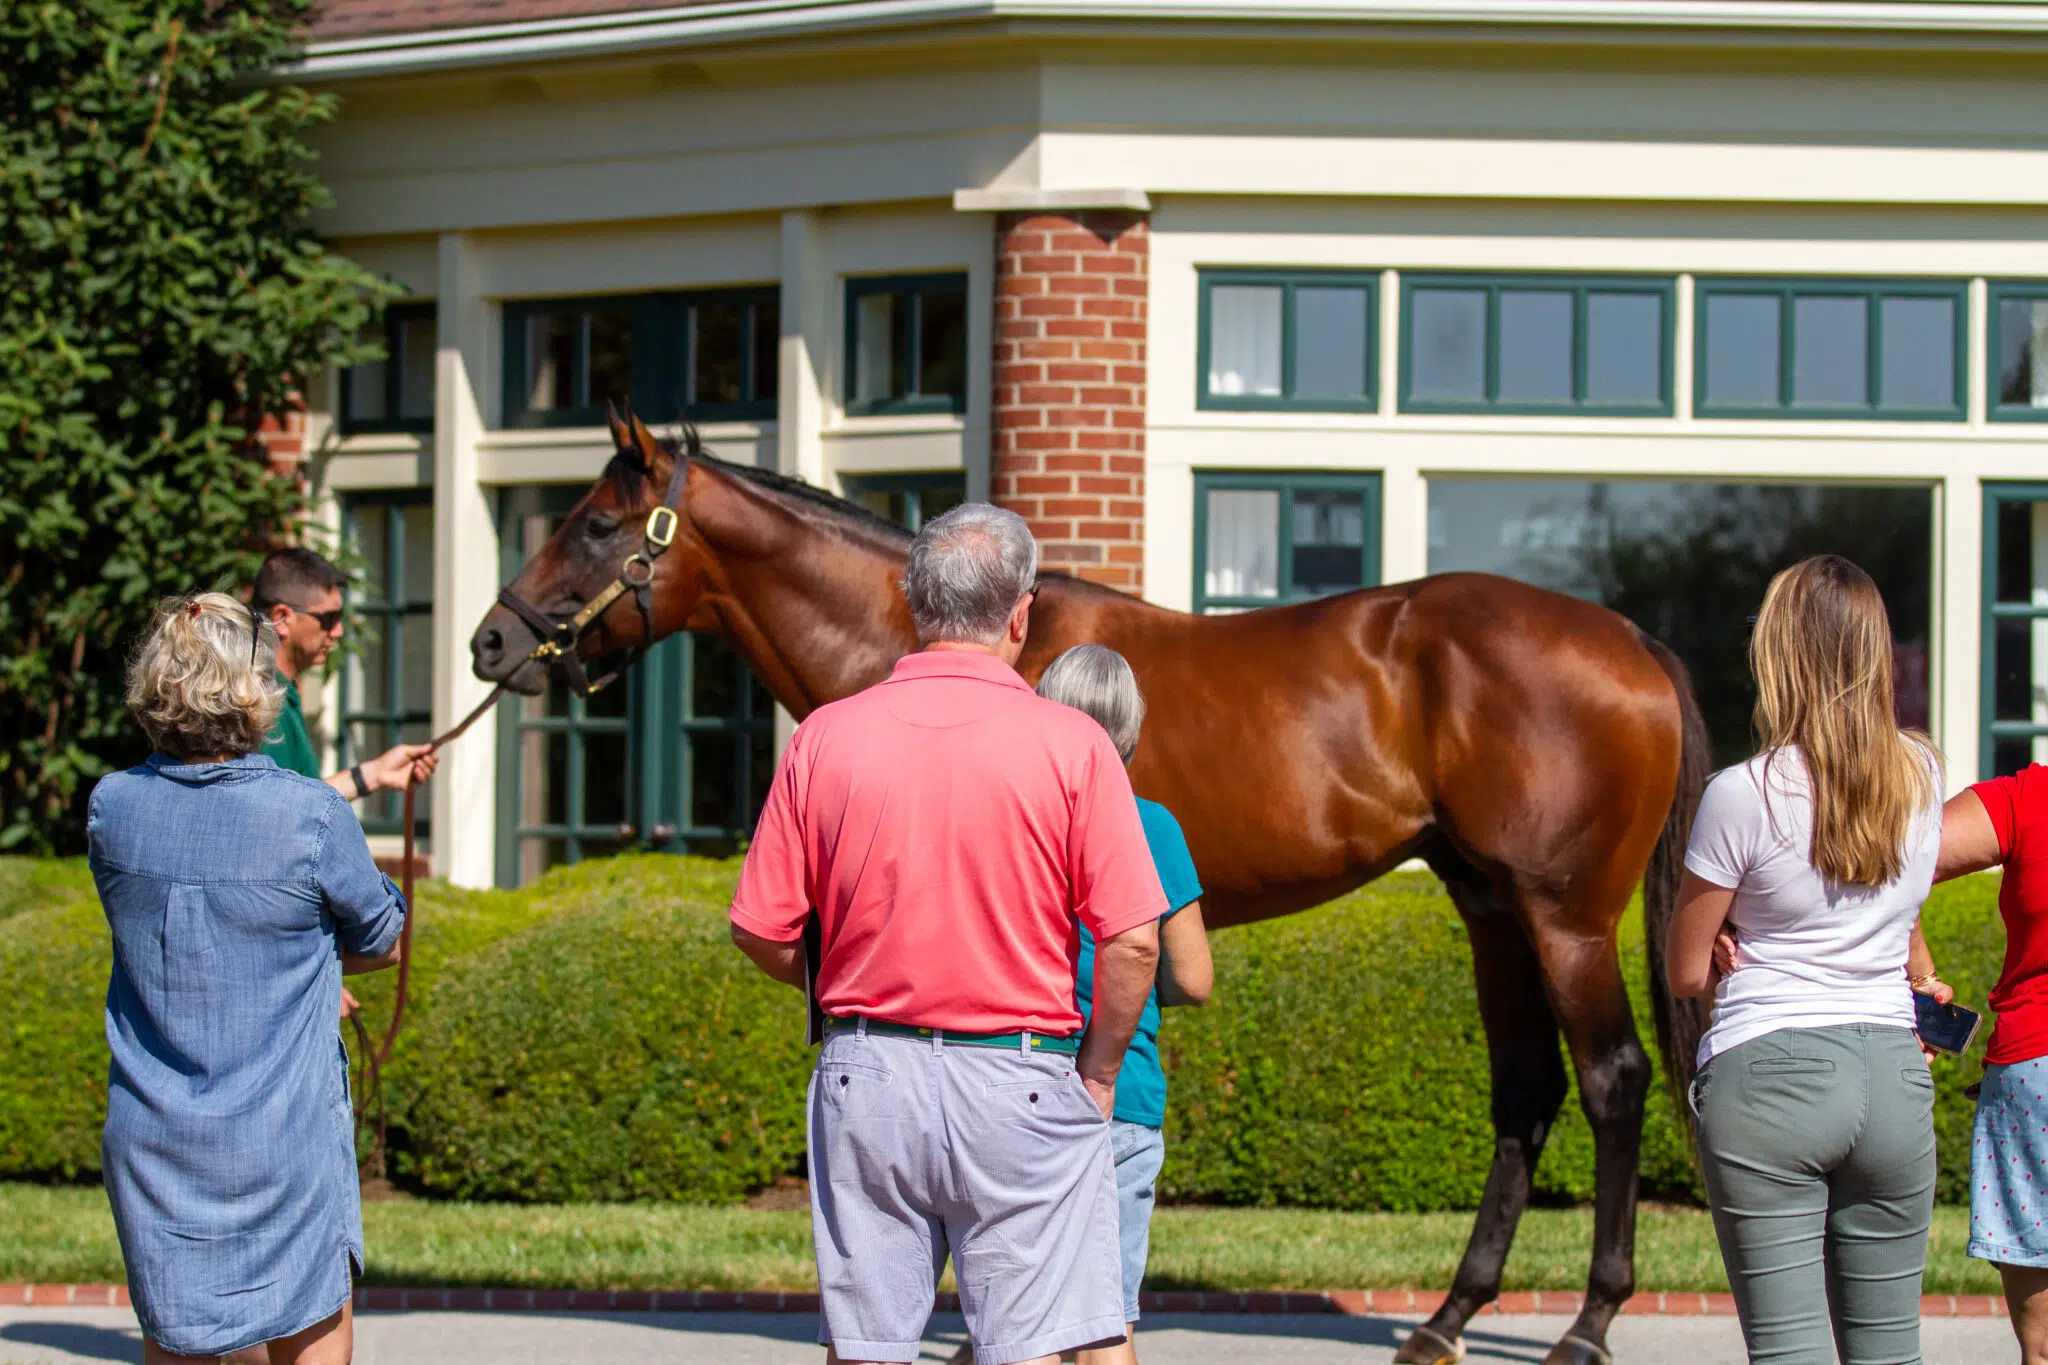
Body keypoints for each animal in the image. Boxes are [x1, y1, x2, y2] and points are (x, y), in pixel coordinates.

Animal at [470, 411, 1711, 1365]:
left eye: (593, 525)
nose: (488, 643)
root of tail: (1633, 642)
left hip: (1563, 919)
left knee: (1610, 1082)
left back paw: (1586, 1325)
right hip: (1490, 909)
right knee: (1524, 1095)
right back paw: (1447, 1318)